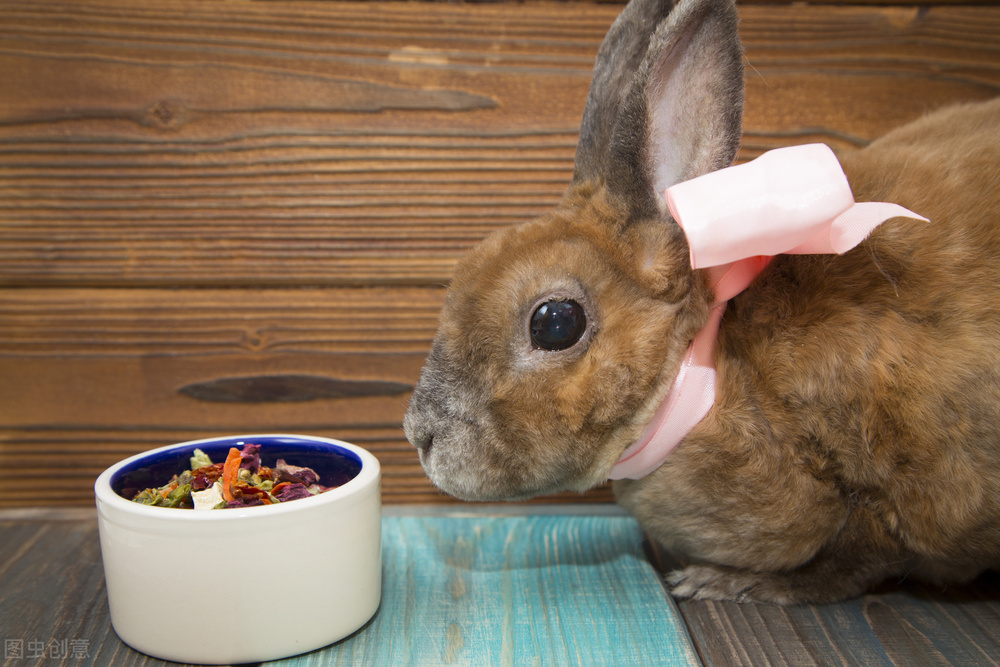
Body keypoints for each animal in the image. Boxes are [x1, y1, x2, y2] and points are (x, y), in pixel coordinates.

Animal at [403, 0, 1000, 604]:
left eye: (555, 323)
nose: (419, 436)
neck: (704, 369)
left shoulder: (907, 487)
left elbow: (855, 560)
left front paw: (729, 583)